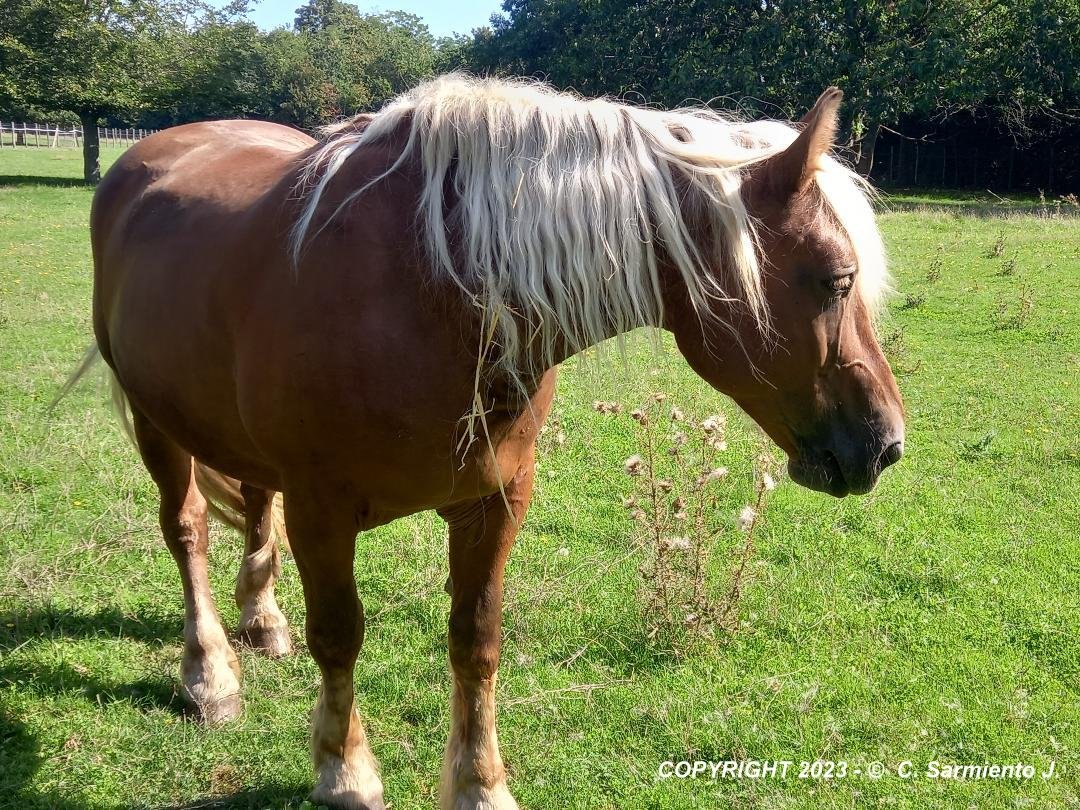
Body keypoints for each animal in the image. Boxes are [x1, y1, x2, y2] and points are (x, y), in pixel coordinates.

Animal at [74, 74, 904, 809]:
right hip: (157, 424)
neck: (430, 293)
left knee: (252, 503)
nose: (887, 444)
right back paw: (209, 674)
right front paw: (345, 772)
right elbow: (339, 636)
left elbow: (476, 642)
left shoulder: (495, 501)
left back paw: (261, 621)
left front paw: (480, 785)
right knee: (187, 532)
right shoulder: (323, 513)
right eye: (836, 279)